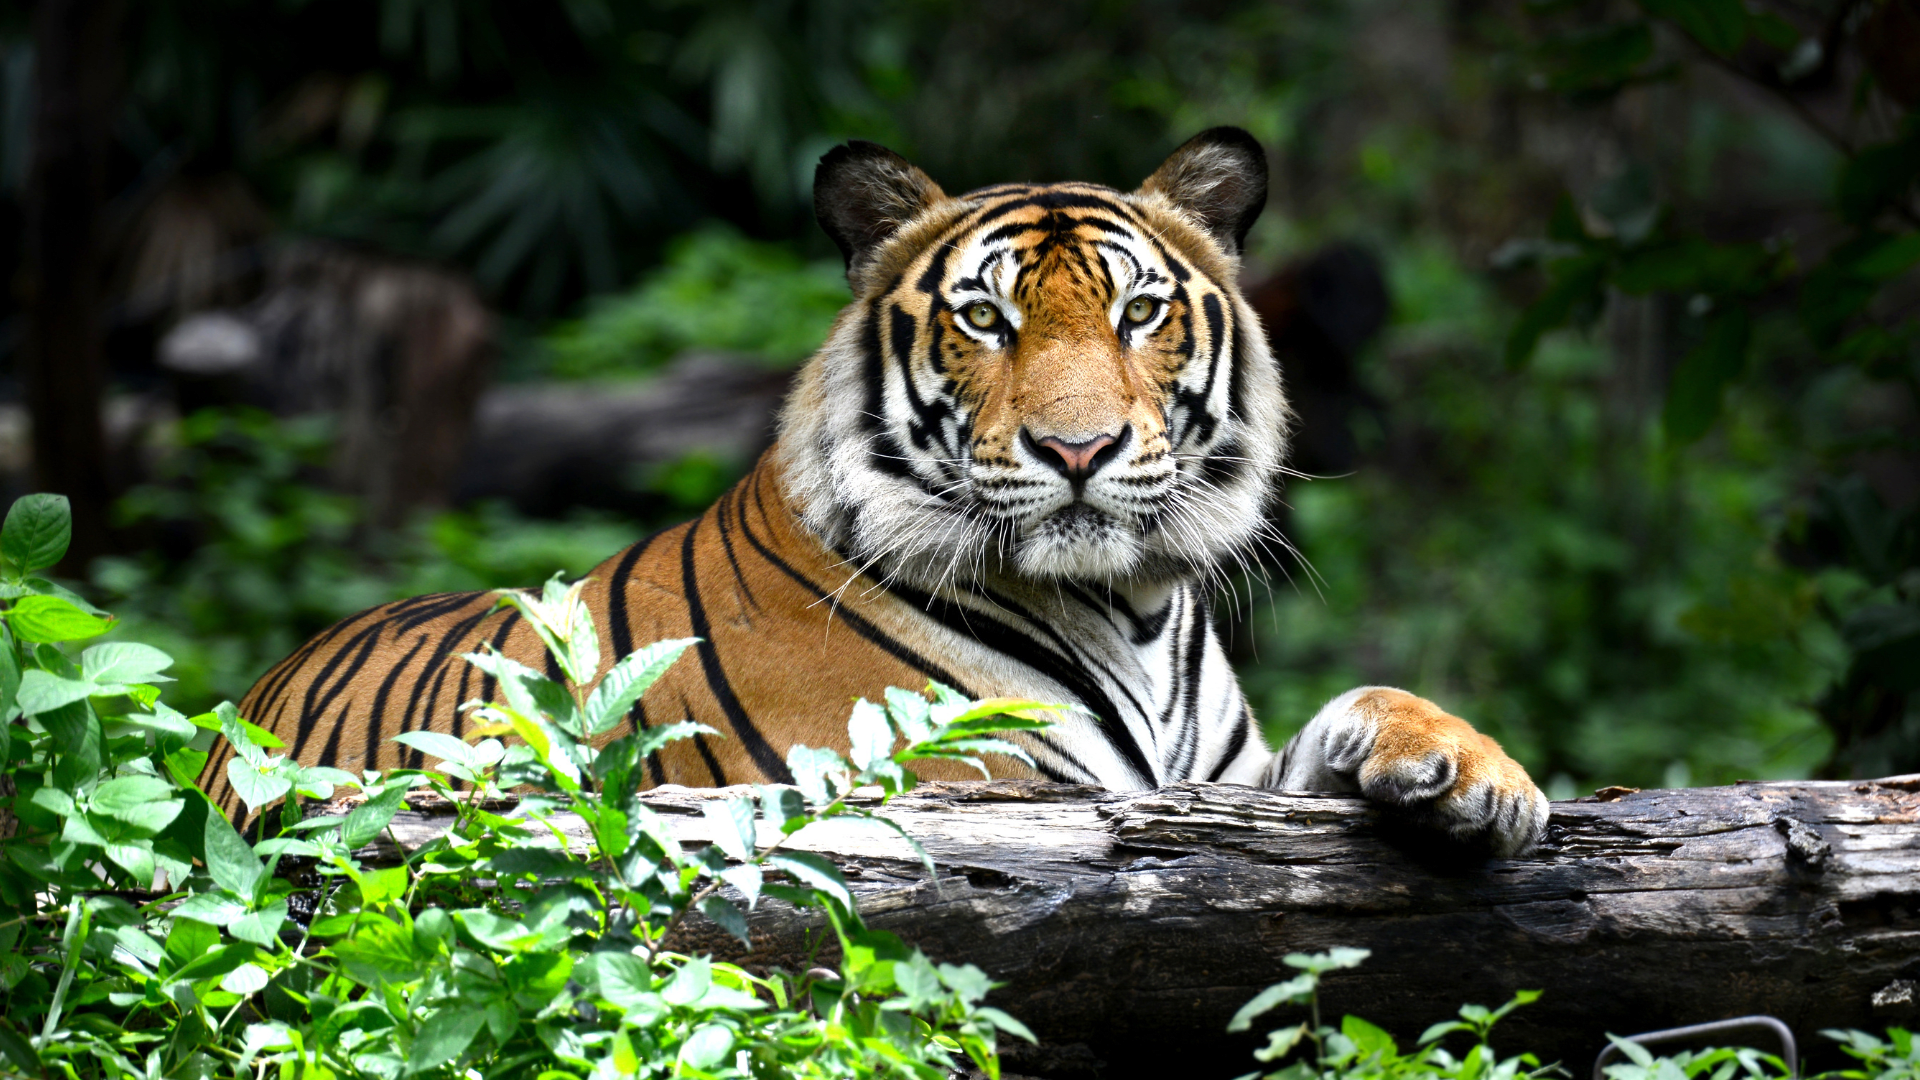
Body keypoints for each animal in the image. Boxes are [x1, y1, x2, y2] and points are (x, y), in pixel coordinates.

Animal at [207, 127, 1549, 856]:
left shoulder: (1223, 787)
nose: (1078, 450)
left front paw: (1478, 776)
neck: (1130, 608)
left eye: (1138, 312)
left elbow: (1366, 704)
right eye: (985, 319)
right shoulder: (976, 793)